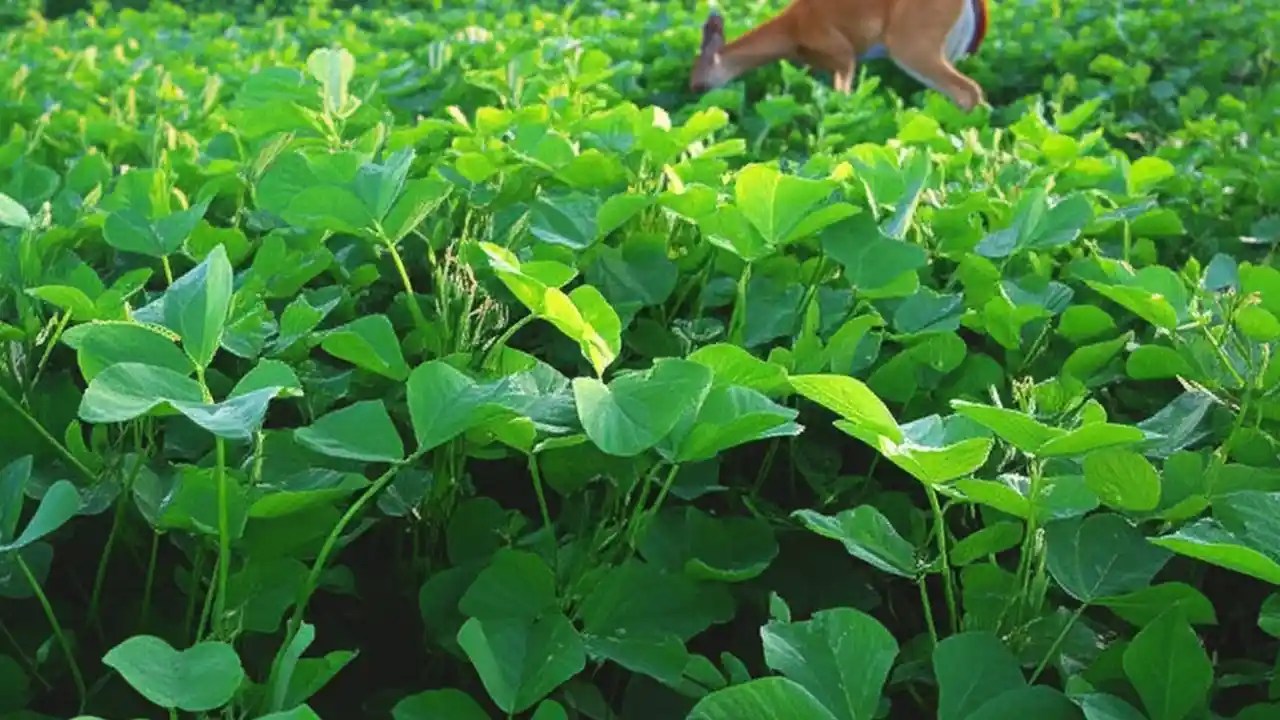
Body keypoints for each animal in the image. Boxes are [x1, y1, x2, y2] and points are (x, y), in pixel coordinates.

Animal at [688, 0, 989, 111]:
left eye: (698, 78)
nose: (693, 89)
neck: (793, 31)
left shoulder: (843, 53)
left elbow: (842, 99)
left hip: (913, 43)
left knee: (968, 91)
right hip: (946, 49)